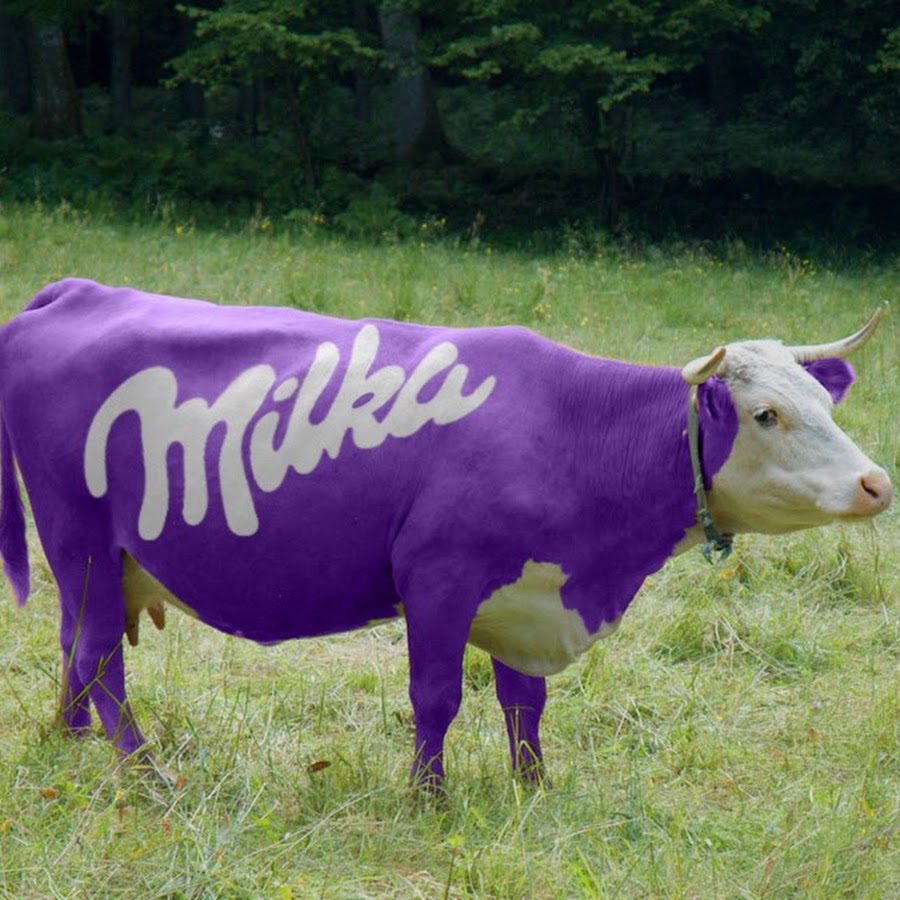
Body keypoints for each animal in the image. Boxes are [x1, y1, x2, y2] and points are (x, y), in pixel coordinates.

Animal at [0, 279, 892, 791]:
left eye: (825, 399)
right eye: (765, 414)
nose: (876, 484)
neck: (574, 433)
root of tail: (76, 291)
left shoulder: (528, 596)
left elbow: (525, 703)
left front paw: (533, 788)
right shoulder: (437, 579)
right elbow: (435, 697)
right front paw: (428, 797)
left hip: (98, 559)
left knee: (75, 645)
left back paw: (69, 742)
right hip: (80, 539)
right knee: (98, 659)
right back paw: (142, 770)